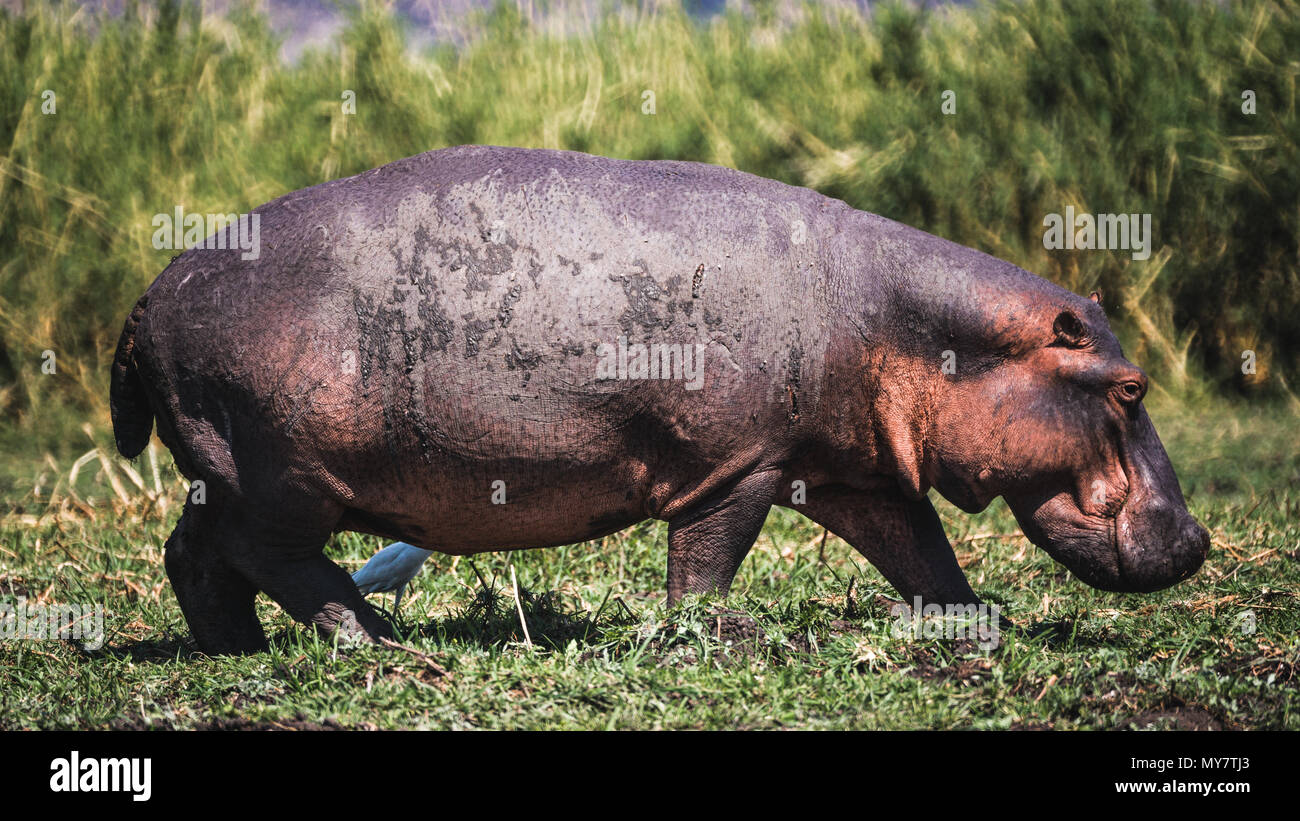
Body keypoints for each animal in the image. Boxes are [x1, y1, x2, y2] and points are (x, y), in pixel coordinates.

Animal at [110, 145, 1208, 654]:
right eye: (1130, 385)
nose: (1197, 538)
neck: (914, 326)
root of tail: (148, 291)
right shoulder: (742, 462)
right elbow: (708, 558)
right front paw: (731, 638)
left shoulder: (852, 468)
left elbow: (920, 549)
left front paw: (973, 627)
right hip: (280, 474)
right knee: (273, 557)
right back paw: (374, 641)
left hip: (226, 467)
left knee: (191, 551)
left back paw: (238, 648)